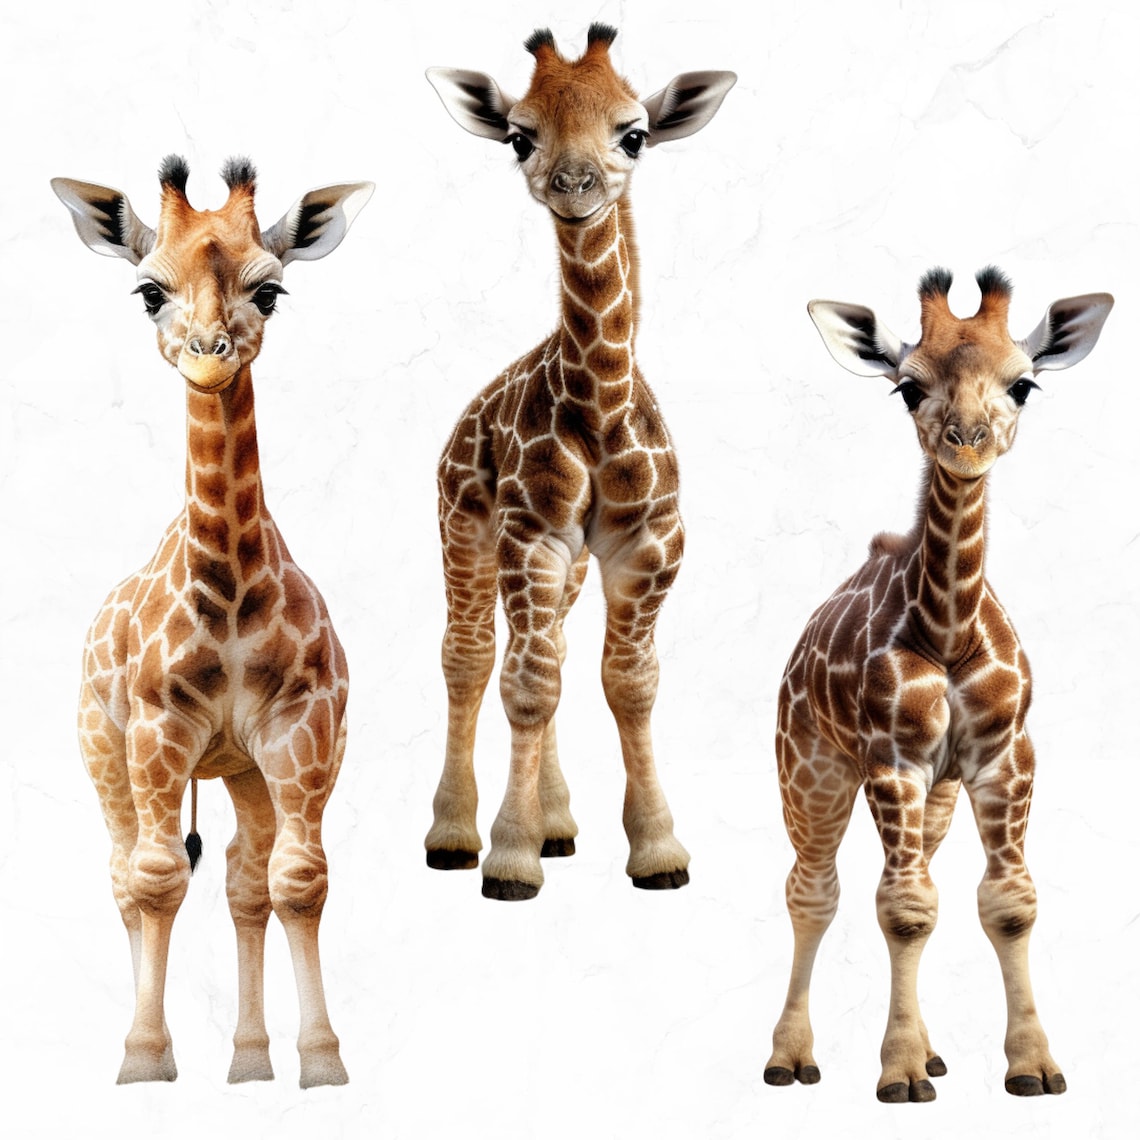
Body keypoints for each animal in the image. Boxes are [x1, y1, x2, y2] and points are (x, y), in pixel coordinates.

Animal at [52, 156, 372, 1087]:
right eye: (148, 291)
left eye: (270, 290)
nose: (206, 359)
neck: (229, 590)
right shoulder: (157, 729)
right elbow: (157, 878)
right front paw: (144, 1061)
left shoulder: (303, 731)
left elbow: (295, 879)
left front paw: (318, 1062)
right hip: (103, 745)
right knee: (125, 873)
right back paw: (147, 1039)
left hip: (241, 768)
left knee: (241, 874)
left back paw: (250, 1060)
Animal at [423, 25, 735, 900]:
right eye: (519, 136)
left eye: (634, 133)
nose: (574, 184)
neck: (599, 403)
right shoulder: (530, 536)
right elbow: (525, 685)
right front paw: (507, 857)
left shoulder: (647, 546)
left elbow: (627, 682)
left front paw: (657, 849)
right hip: (463, 526)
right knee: (470, 658)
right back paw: (454, 834)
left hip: (568, 568)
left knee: (553, 651)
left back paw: (557, 823)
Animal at [763, 267, 1112, 1101]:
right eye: (908, 389)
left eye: (1023, 384)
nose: (968, 443)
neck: (948, 631)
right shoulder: (892, 762)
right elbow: (904, 910)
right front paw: (896, 1073)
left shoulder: (1002, 760)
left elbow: (1007, 904)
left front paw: (1031, 1065)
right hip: (810, 771)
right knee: (811, 890)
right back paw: (791, 1057)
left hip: (938, 796)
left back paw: (931, 1053)